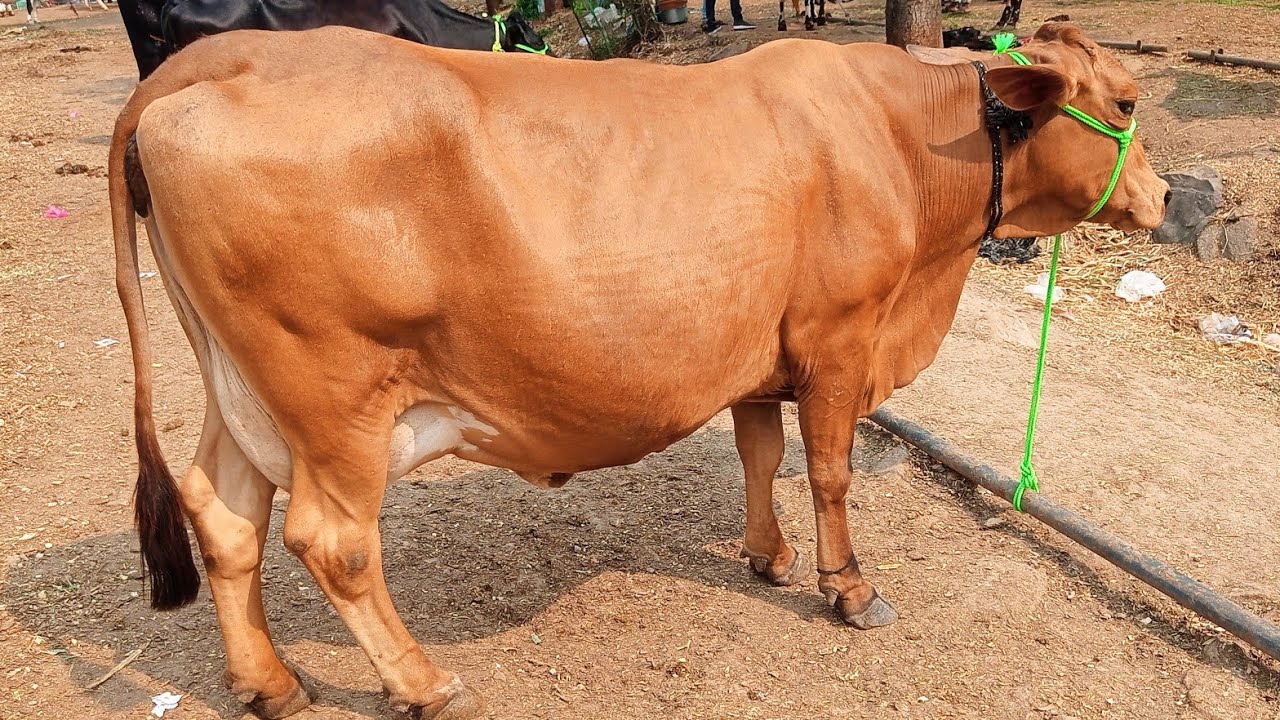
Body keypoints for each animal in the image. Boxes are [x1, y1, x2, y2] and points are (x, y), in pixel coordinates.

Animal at [109, 22, 1168, 719]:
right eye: (1124, 103)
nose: (1163, 196)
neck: (902, 142)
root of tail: (213, 56)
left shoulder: (759, 349)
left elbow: (757, 454)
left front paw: (769, 556)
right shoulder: (839, 339)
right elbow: (827, 471)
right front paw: (850, 590)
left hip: (240, 388)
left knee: (223, 515)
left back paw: (271, 684)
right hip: (334, 399)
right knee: (332, 541)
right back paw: (424, 683)